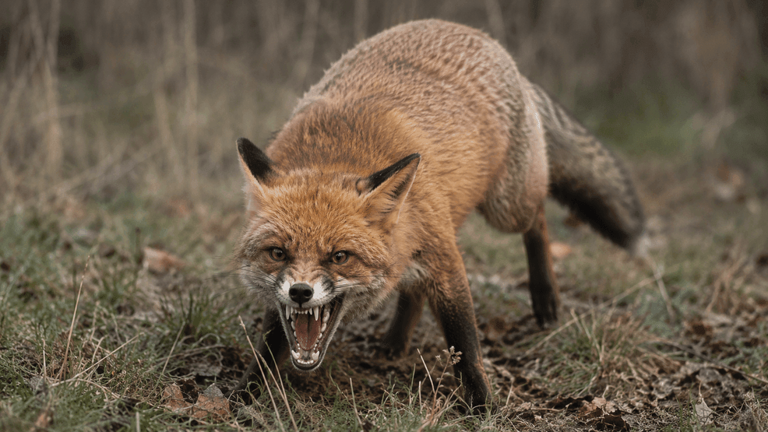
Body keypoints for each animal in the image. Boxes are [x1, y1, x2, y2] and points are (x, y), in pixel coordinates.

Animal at [232, 19, 645, 410]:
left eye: (339, 257)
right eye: (278, 253)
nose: (301, 292)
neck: (335, 155)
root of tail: (483, 38)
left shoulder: (445, 260)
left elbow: (466, 344)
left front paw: (483, 404)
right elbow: (270, 346)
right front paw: (246, 394)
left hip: (507, 207)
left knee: (539, 218)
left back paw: (545, 297)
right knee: (413, 290)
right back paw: (396, 340)